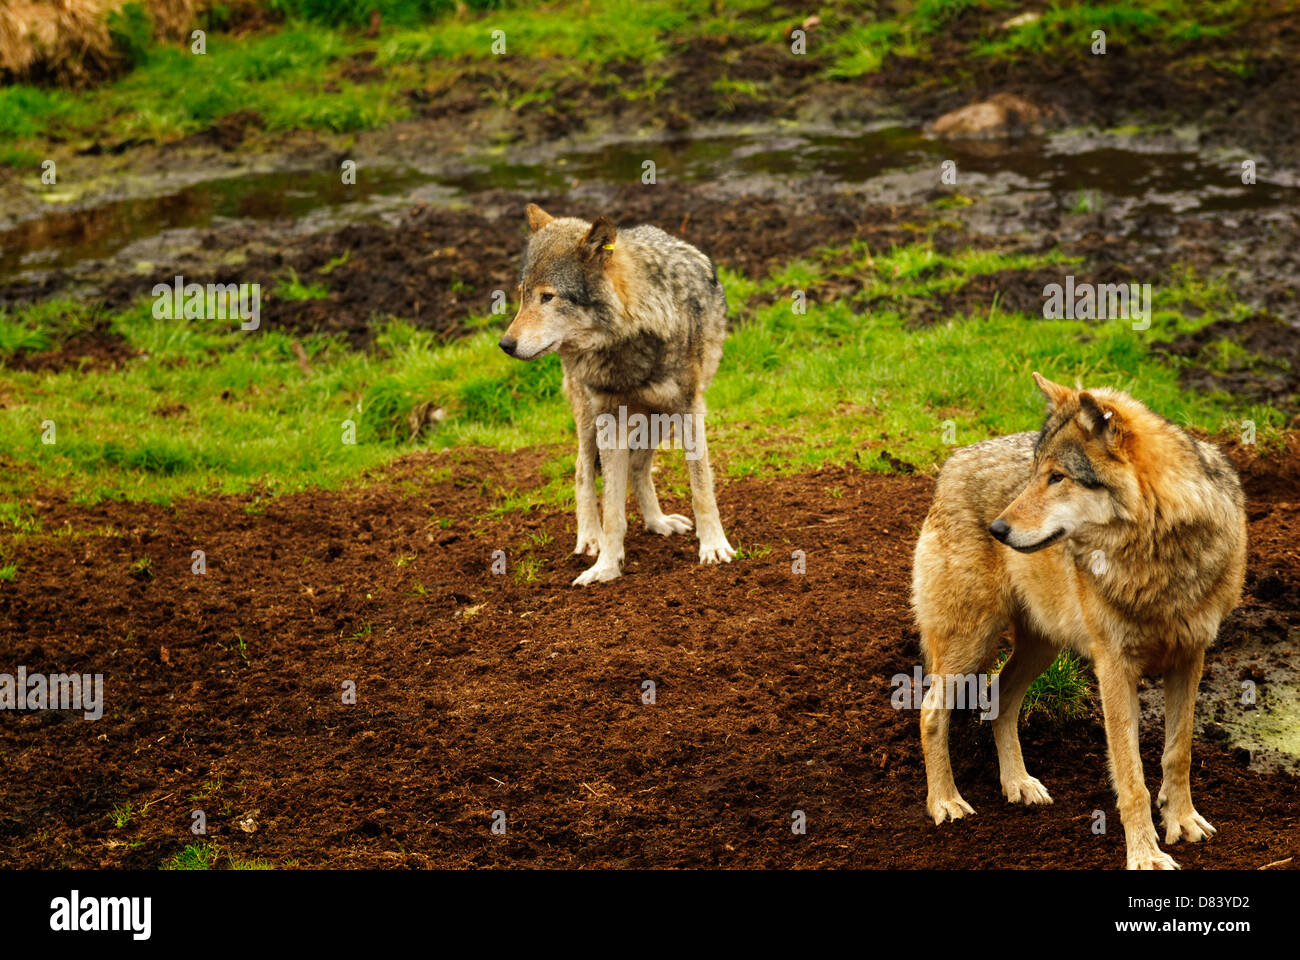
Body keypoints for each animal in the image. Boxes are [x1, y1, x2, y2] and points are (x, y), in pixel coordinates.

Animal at [500, 203, 736, 586]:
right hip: (590, 419)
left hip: (659, 419)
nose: (505, 344)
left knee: (639, 468)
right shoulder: (610, 421)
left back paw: (658, 522)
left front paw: (714, 547)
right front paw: (606, 566)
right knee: (582, 469)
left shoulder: (690, 410)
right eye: (522, 295)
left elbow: (701, 487)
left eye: (547, 297)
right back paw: (590, 538)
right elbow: (611, 509)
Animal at [911, 372, 1246, 869]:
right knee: (931, 711)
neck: (1155, 557)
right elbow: (1131, 775)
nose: (997, 530)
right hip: (971, 644)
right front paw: (1146, 854)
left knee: (999, 701)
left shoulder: (1191, 656)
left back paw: (1018, 784)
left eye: (1057, 477)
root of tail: (952, 461)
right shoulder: (1113, 668)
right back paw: (945, 802)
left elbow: (1178, 753)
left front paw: (1182, 821)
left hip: (1041, 648)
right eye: (1035, 473)